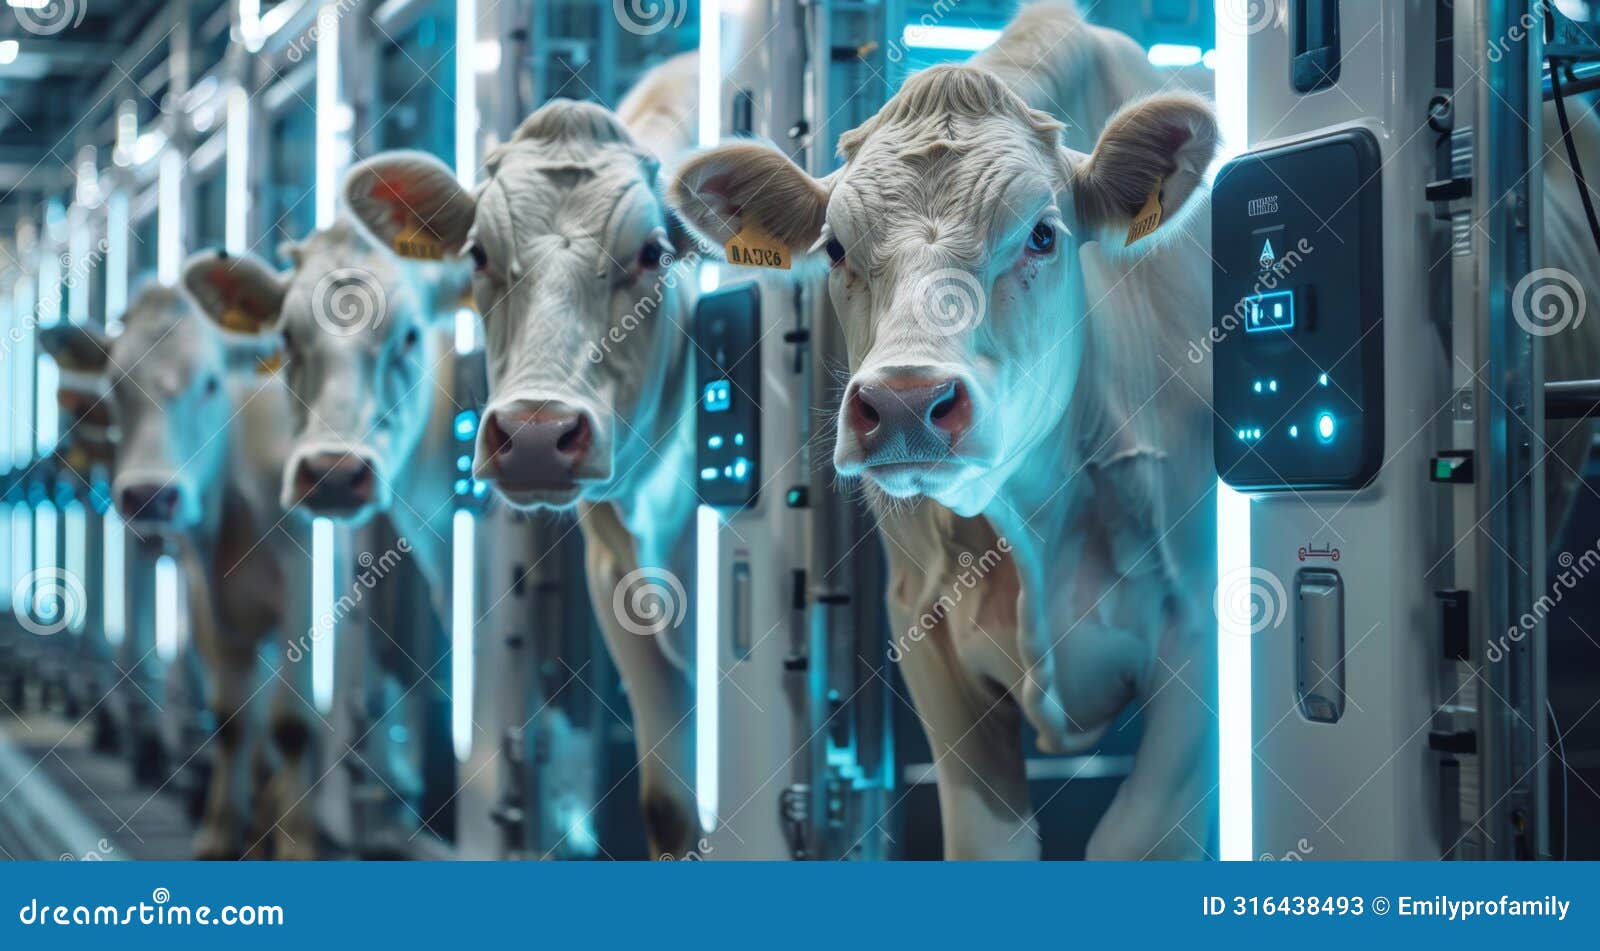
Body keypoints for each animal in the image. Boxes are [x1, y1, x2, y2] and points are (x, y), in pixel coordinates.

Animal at [40, 284, 318, 860]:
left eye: (210, 382)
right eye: (115, 385)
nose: (149, 494)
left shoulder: (307, 581)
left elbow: (291, 723)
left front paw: (296, 844)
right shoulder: (205, 589)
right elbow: (232, 717)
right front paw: (221, 834)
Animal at [671, 2, 1219, 859]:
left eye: (1043, 234)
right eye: (835, 246)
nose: (904, 401)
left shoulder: (1199, 634)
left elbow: (1133, 838)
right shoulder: (925, 635)